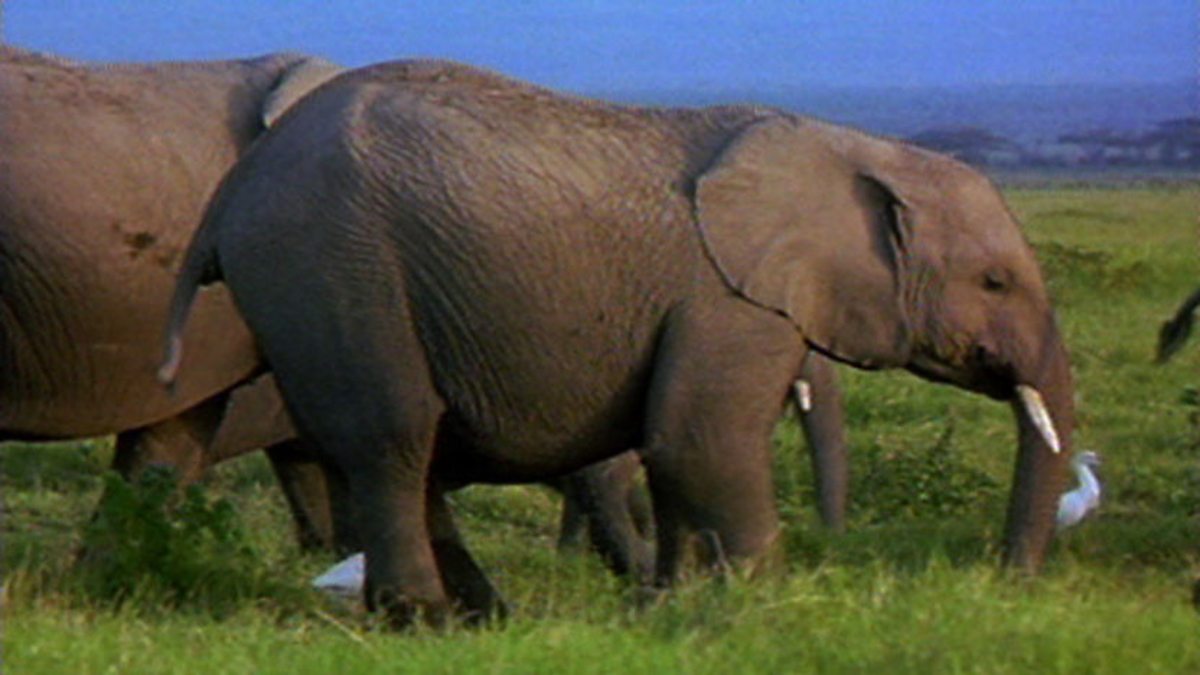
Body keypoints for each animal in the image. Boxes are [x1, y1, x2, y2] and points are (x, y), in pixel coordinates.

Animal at [161, 59, 1073, 626]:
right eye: (996, 282)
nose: (1007, 581)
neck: (844, 141)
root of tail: (234, 188)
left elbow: (674, 453)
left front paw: (669, 606)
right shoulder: (728, 302)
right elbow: (702, 442)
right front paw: (771, 609)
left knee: (397, 454)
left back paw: (485, 618)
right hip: (335, 271)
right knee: (394, 440)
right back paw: (425, 620)